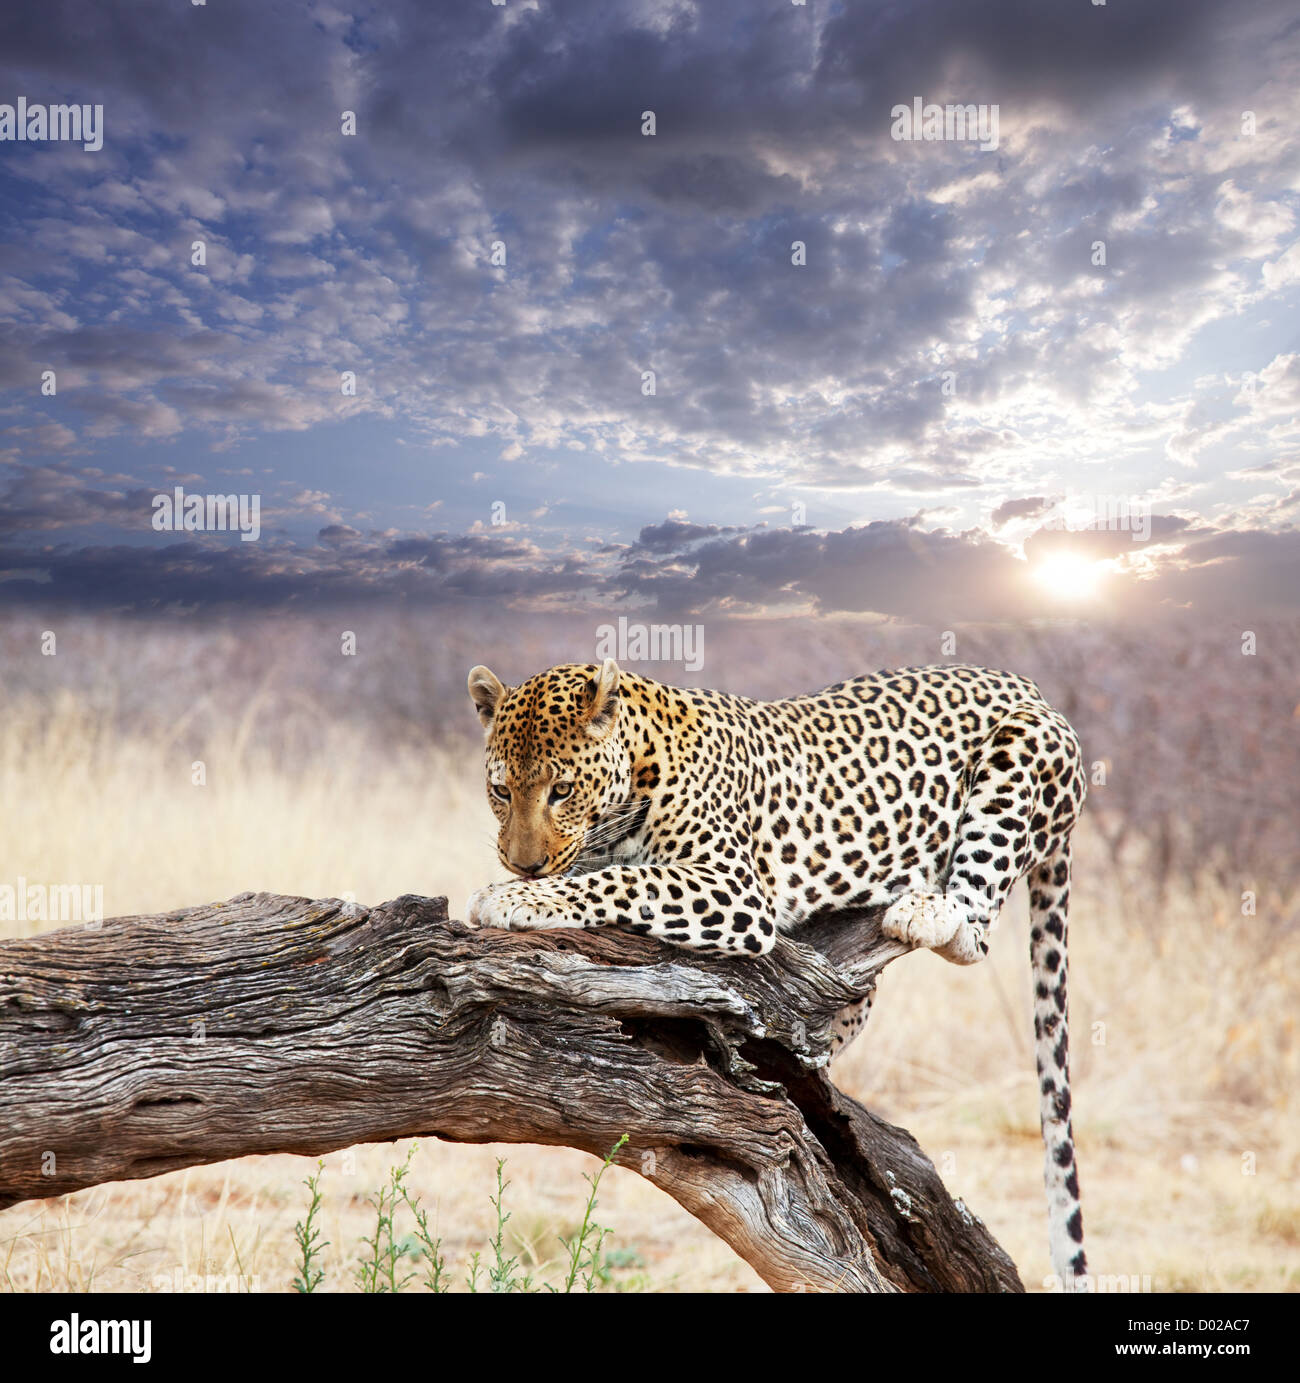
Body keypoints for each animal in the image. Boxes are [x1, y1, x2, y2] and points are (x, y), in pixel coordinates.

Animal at [466, 657, 1089, 1287]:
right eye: (501, 791)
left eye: (562, 790)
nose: (522, 864)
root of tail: (1027, 685)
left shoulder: (731, 886)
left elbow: (620, 881)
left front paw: (513, 897)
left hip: (1021, 752)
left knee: (975, 926)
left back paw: (926, 910)